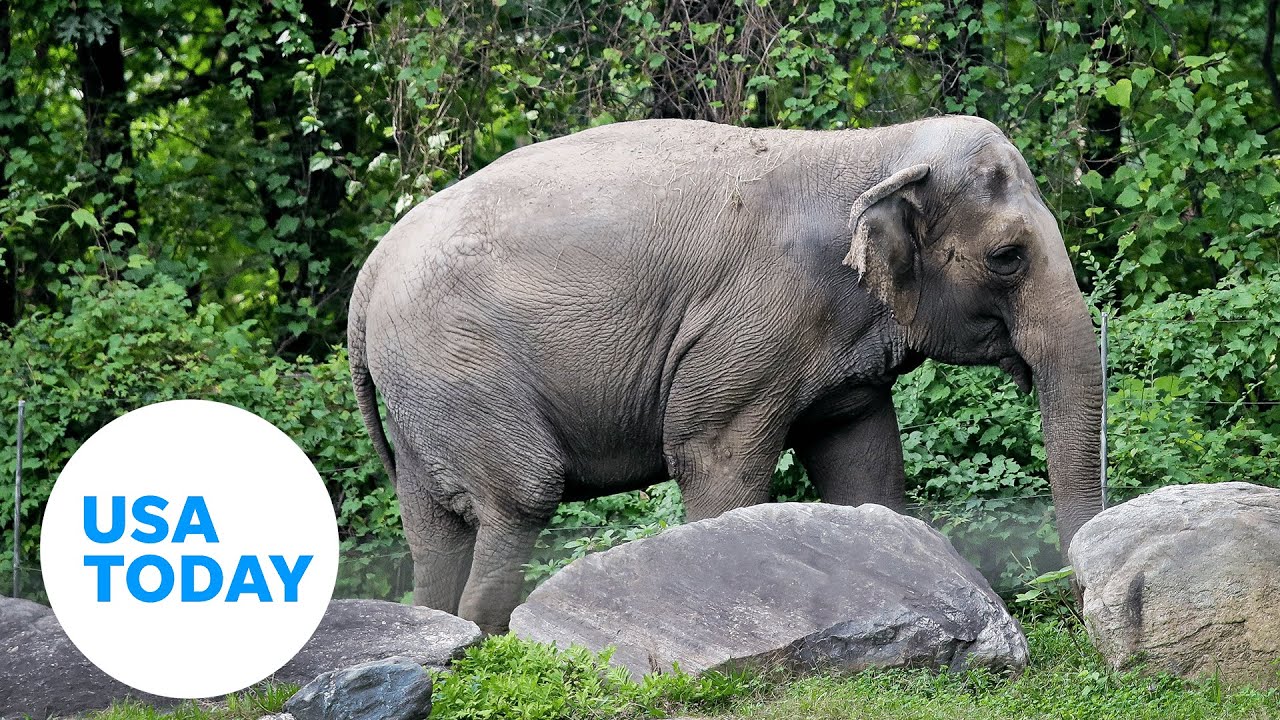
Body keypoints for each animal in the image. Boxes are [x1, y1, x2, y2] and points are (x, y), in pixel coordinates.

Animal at [348, 116, 1103, 634]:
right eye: (1007, 257)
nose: (1076, 604)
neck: (874, 149)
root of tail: (370, 272)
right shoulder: (753, 326)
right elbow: (715, 459)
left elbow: (865, 468)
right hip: (460, 368)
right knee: (520, 499)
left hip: (422, 394)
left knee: (433, 530)